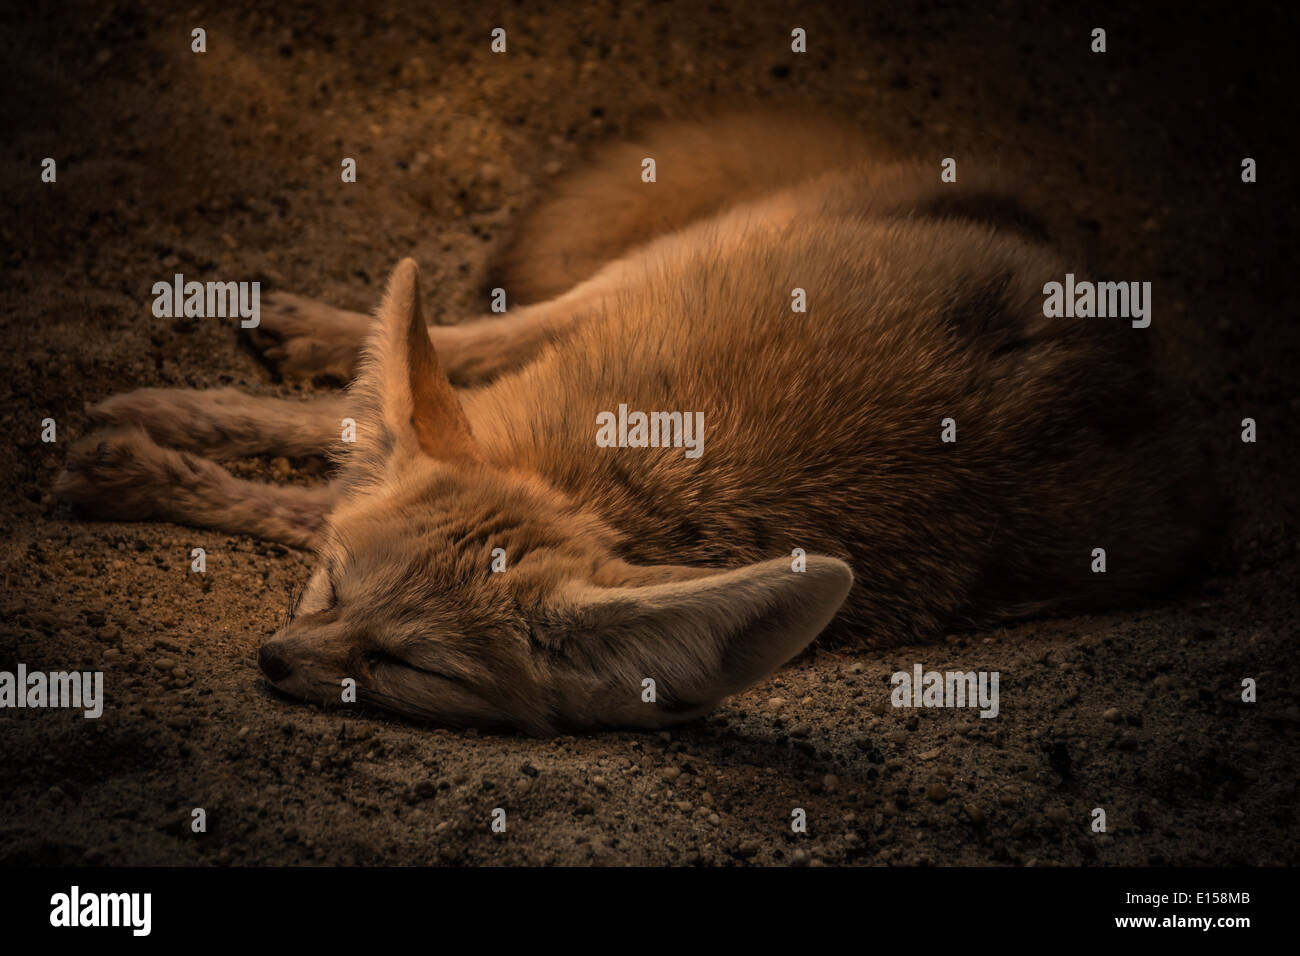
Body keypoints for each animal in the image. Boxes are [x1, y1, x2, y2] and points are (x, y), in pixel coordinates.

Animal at [55, 114, 1210, 734]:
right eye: (334, 592)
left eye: (405, 668)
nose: (271, 659)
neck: (593, 479)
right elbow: (327, 444)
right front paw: (163, 424)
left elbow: (298, 491)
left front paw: (139, 465)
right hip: (676, 264)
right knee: (471, 338)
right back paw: (303, 332)